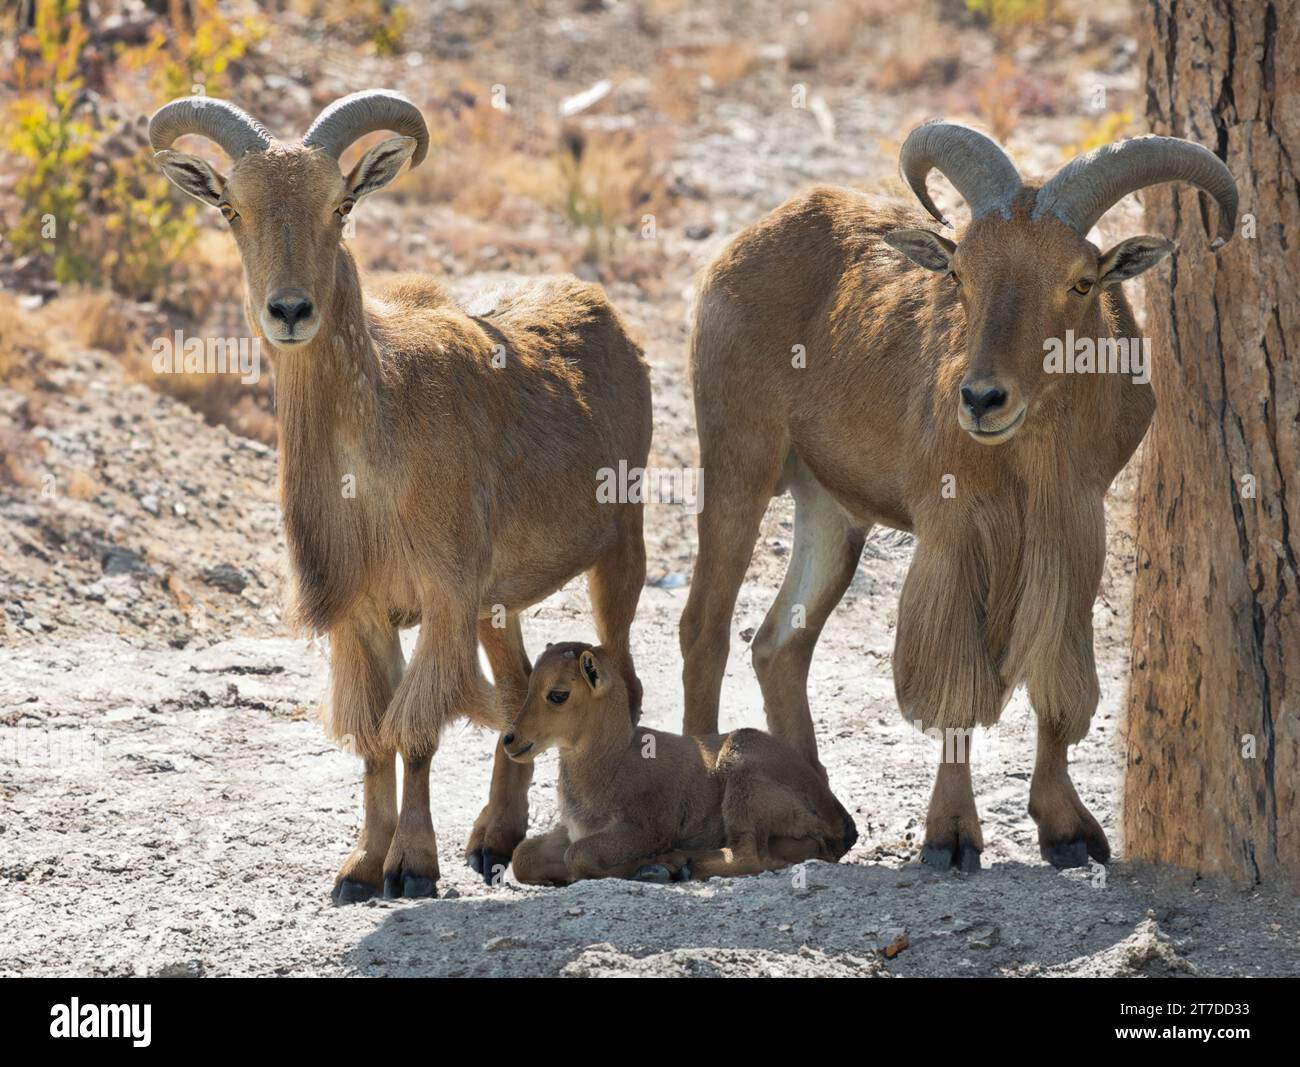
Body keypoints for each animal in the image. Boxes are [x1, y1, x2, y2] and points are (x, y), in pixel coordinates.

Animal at [149, 91, 652, 901]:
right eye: (231, 208)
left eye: (341, 205)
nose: (290, 310)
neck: (372, 459)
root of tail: (605, 311)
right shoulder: (363, 610)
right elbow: (371, 736)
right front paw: (361, 864)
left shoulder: (443, 596)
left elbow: (413, 730)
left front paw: (412, 864)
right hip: (496, 600)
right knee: (517, 687)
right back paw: (494, 835)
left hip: (619, 545)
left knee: (624, 672)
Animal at [505, 643, 857, 884]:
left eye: (558, 694)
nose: (511, 739)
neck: (612, 762)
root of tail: (838, 819)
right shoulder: (573, 831)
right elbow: (523, 856)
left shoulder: (646, 829)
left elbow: (577, 856)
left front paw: (649, 866)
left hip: (743, 776)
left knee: (747, 855)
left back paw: (677, 864)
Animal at [679, 121, 1237, 870]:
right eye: (960, 274)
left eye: (1082, 281)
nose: (980, 398)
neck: (1028, 454)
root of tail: (744, 243)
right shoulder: (952, 533)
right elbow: (954, 684)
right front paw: (949, 836)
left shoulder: (1075, 529)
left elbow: (1059, 679)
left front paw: (1068, 831)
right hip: (740, 456)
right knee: (705, 629)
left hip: (829, 508)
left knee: (778, 642)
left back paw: (822, 816)